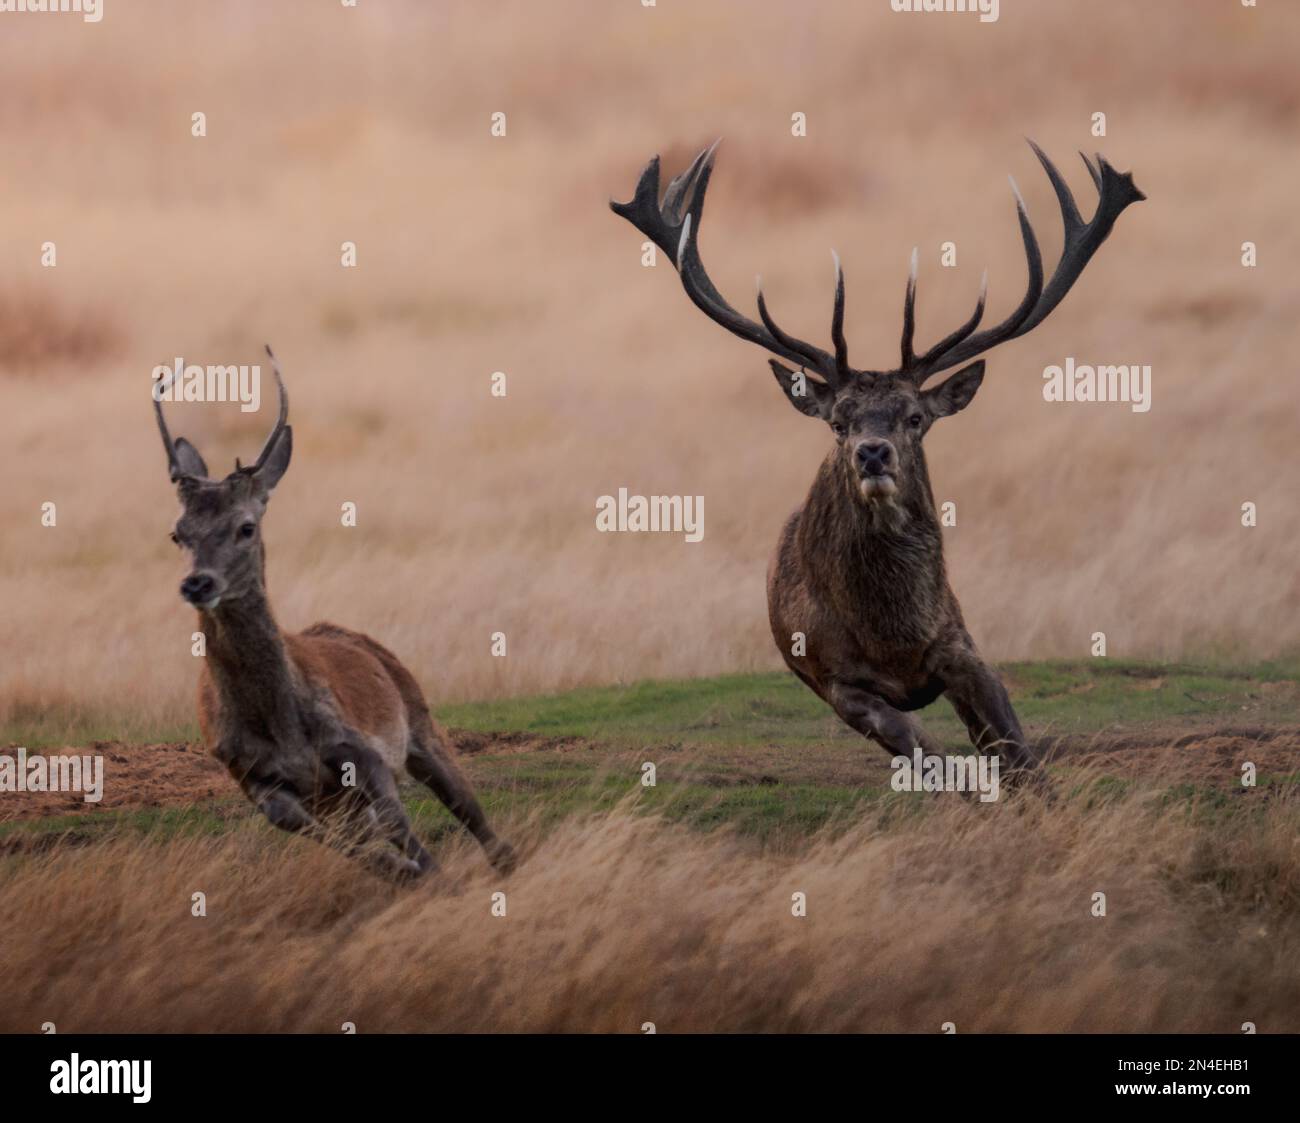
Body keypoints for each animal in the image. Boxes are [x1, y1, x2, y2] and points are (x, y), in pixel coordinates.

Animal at [153, 347, 515, 879]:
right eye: (177, 532)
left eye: (246, 526)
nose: (197, 582)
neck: (281, 728)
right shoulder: (252, 778)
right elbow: (340, 839)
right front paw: (407, 872)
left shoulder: (360, 749)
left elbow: (398, 820)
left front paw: (433, 873)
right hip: (342, 797)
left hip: (420, 720)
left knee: (470, 809)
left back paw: (505, 861)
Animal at [612, 139, 1144, 785]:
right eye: (838, 421)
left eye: (915, 417)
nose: (872, 451)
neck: (894, 639)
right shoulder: (838, 681)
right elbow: (931, 758)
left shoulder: (960, 645)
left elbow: (1019, 756)